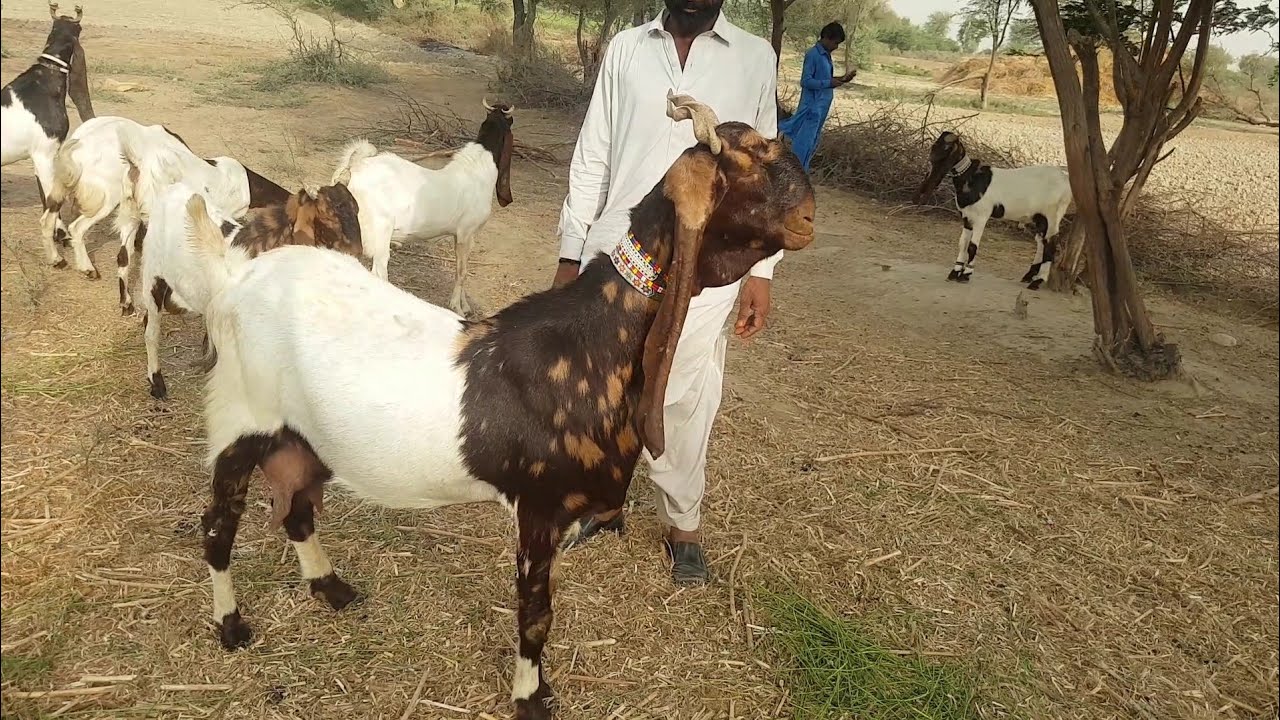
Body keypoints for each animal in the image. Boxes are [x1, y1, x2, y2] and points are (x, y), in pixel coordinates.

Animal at [1, 3, 95, 270]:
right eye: (80, 30)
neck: (44, 84)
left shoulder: (40, 158)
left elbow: (48, 198)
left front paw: (60, 236)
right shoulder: (45, 155)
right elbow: (52, 204)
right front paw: (56, 257)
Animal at [140, 181, 361, 400]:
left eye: (356, 209)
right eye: (330, 215)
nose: (356, 256)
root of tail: (173, 188)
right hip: (153, 273)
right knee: (151, 331)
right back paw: (157, 383)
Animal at [331, 99, 514, 317]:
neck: (478, 169)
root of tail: (358, 167)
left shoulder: (461, 236)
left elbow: (461, 268)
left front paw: (465, 306)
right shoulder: (466, 233)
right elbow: (461, 272)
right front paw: (457, 308)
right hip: (380, 230)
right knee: (379, 272)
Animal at [914, 130, 1073, 290]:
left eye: (946, 147)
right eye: (934, 145)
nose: (923, 190)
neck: (973, 179)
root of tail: (1066, 181)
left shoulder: (982, 216)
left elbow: (972, 246)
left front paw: (966, 274)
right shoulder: (966, 217)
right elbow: (962, 243)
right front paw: (955, 271)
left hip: (1053, 215)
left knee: (1050, 244)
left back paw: (1037, 282)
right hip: (1039, 217)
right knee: (1041, 242)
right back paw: (1029, 276)